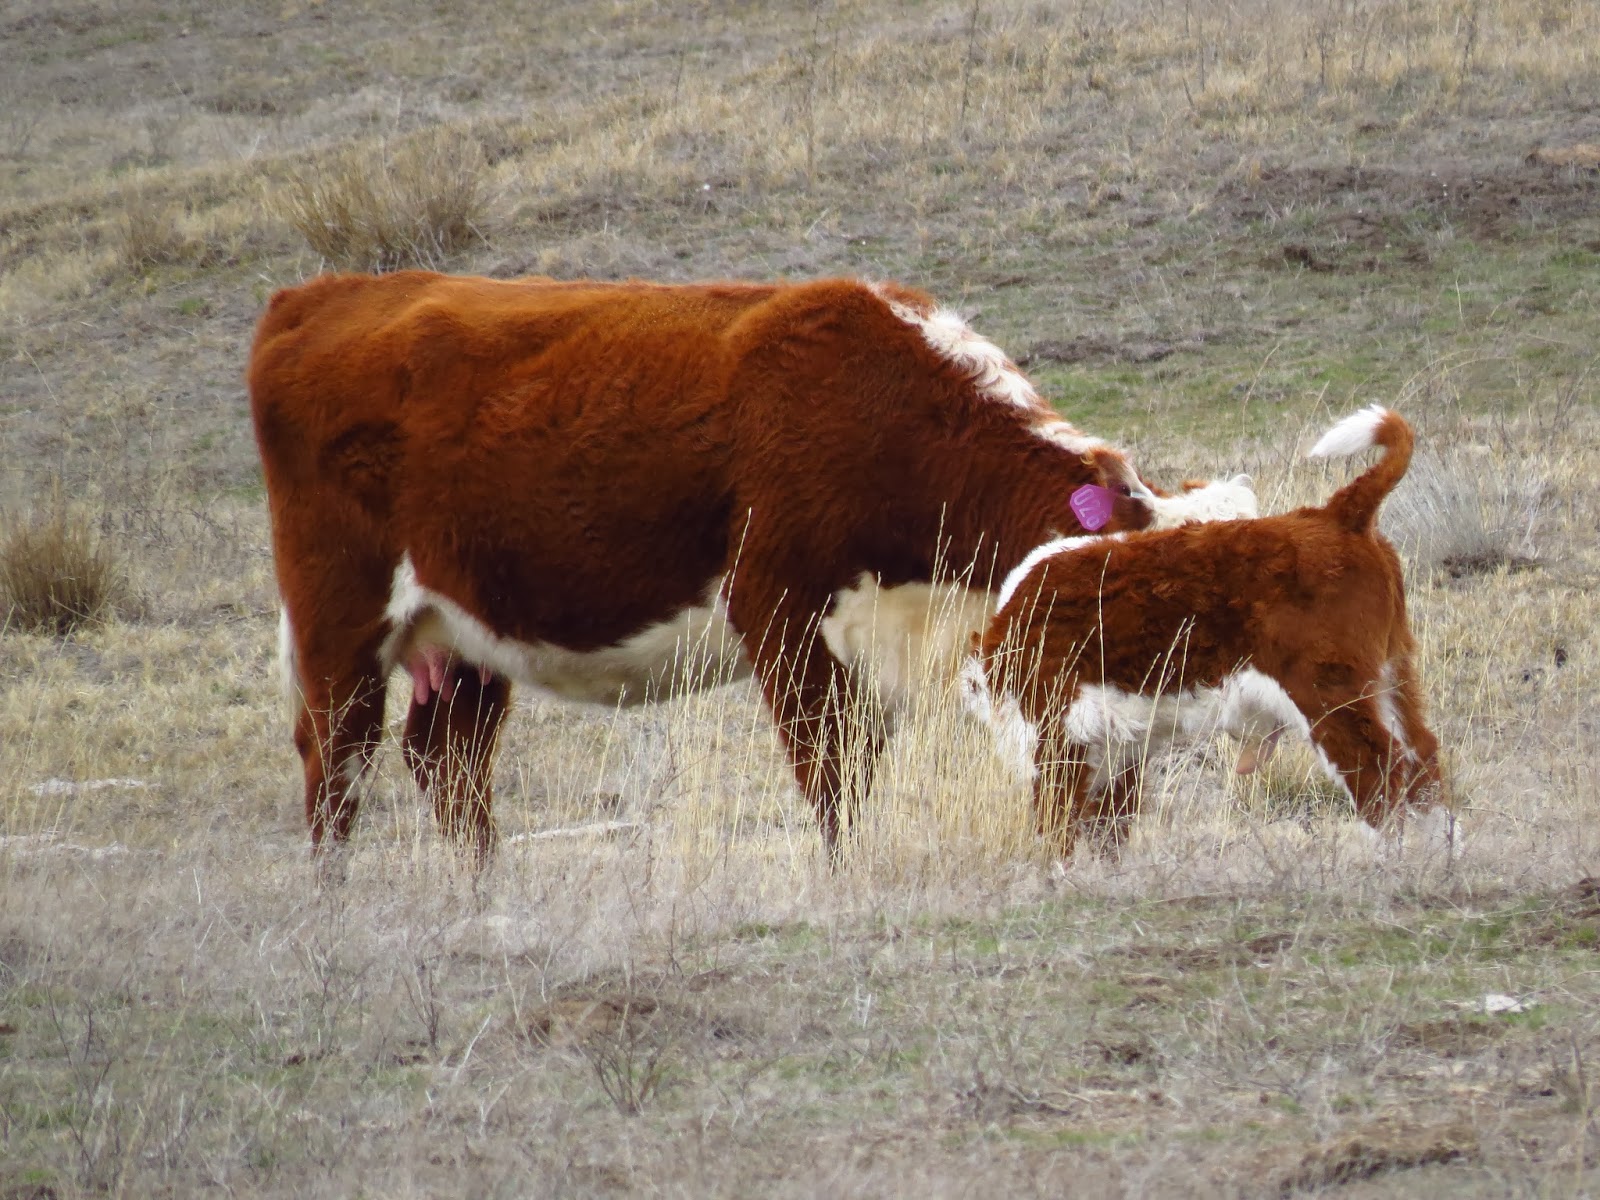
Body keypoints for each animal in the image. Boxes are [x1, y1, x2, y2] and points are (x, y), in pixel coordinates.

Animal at [248, 271, 1247, 867]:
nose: (1106, 847)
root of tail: (321, 291)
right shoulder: (782, 612)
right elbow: (834, 773)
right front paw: (850, 875)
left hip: (466, 635)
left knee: (447, 761)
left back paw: (481, 895)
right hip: (340, 618)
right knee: (335, 759)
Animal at [965, 406, 1449, 858]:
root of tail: (1336, 514)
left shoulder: (1056, 731)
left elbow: (1058, 830)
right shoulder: (1116, 748)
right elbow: (1107, 832)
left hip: (1328, 692)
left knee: (1380, 771)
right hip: (1392, 676)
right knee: (1423, 763)